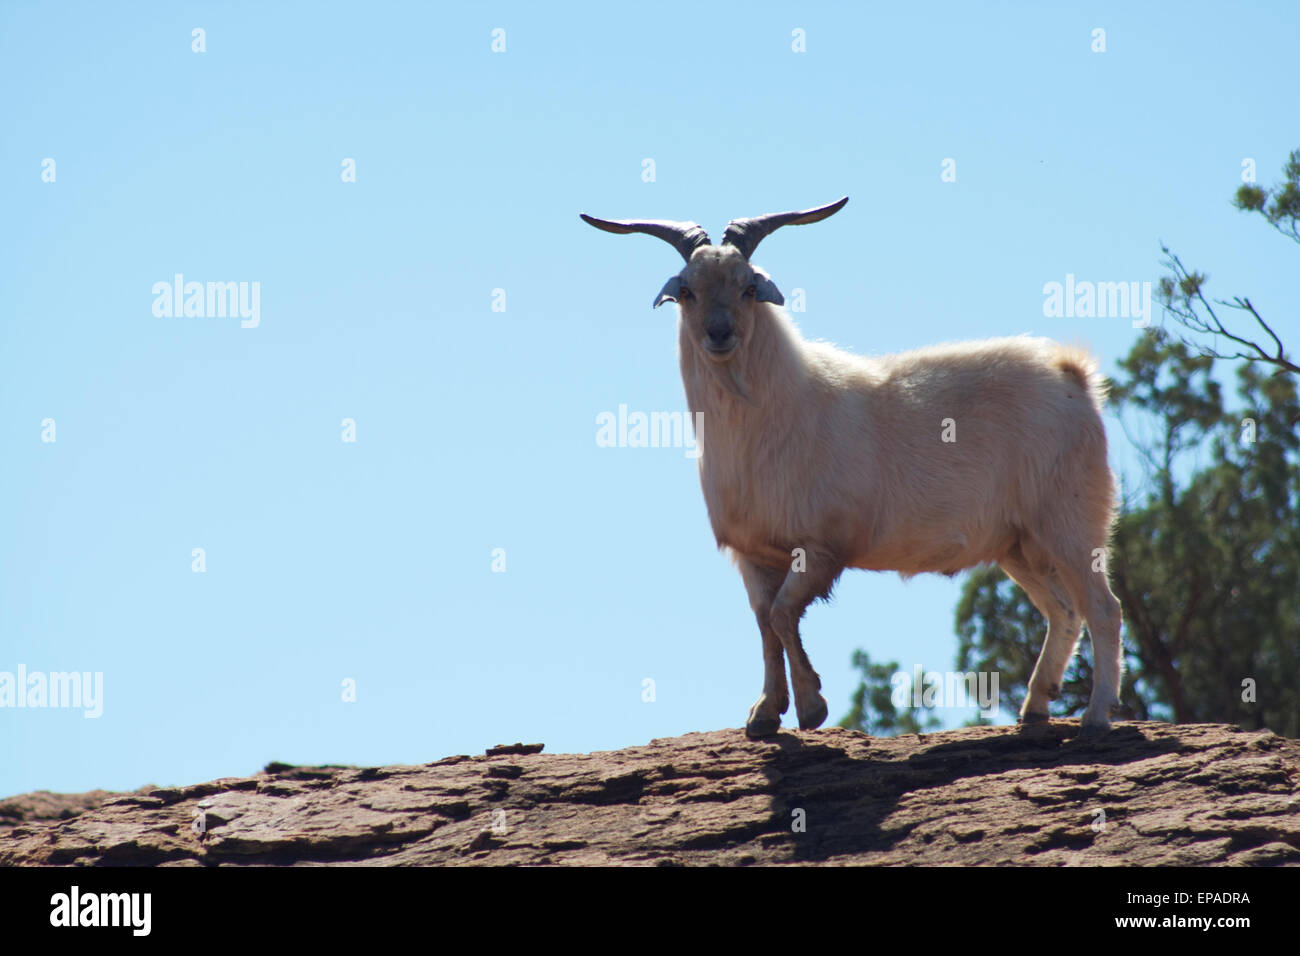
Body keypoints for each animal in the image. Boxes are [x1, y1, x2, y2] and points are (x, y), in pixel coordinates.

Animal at [580, 198, 1123, 737]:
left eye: (749, 287)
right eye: (688, 292)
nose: (719, 333)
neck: (772, 414)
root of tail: (1073, 375)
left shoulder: (821, 548)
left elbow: (782, 616)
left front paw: (811, 707)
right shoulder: (754, 555)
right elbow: (764, 623)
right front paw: (764, 714)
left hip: (1070, 522)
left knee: (1103, 608)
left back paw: (1096, 717)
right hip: (1018, 542)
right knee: (1064, 610)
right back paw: (1036, 707)